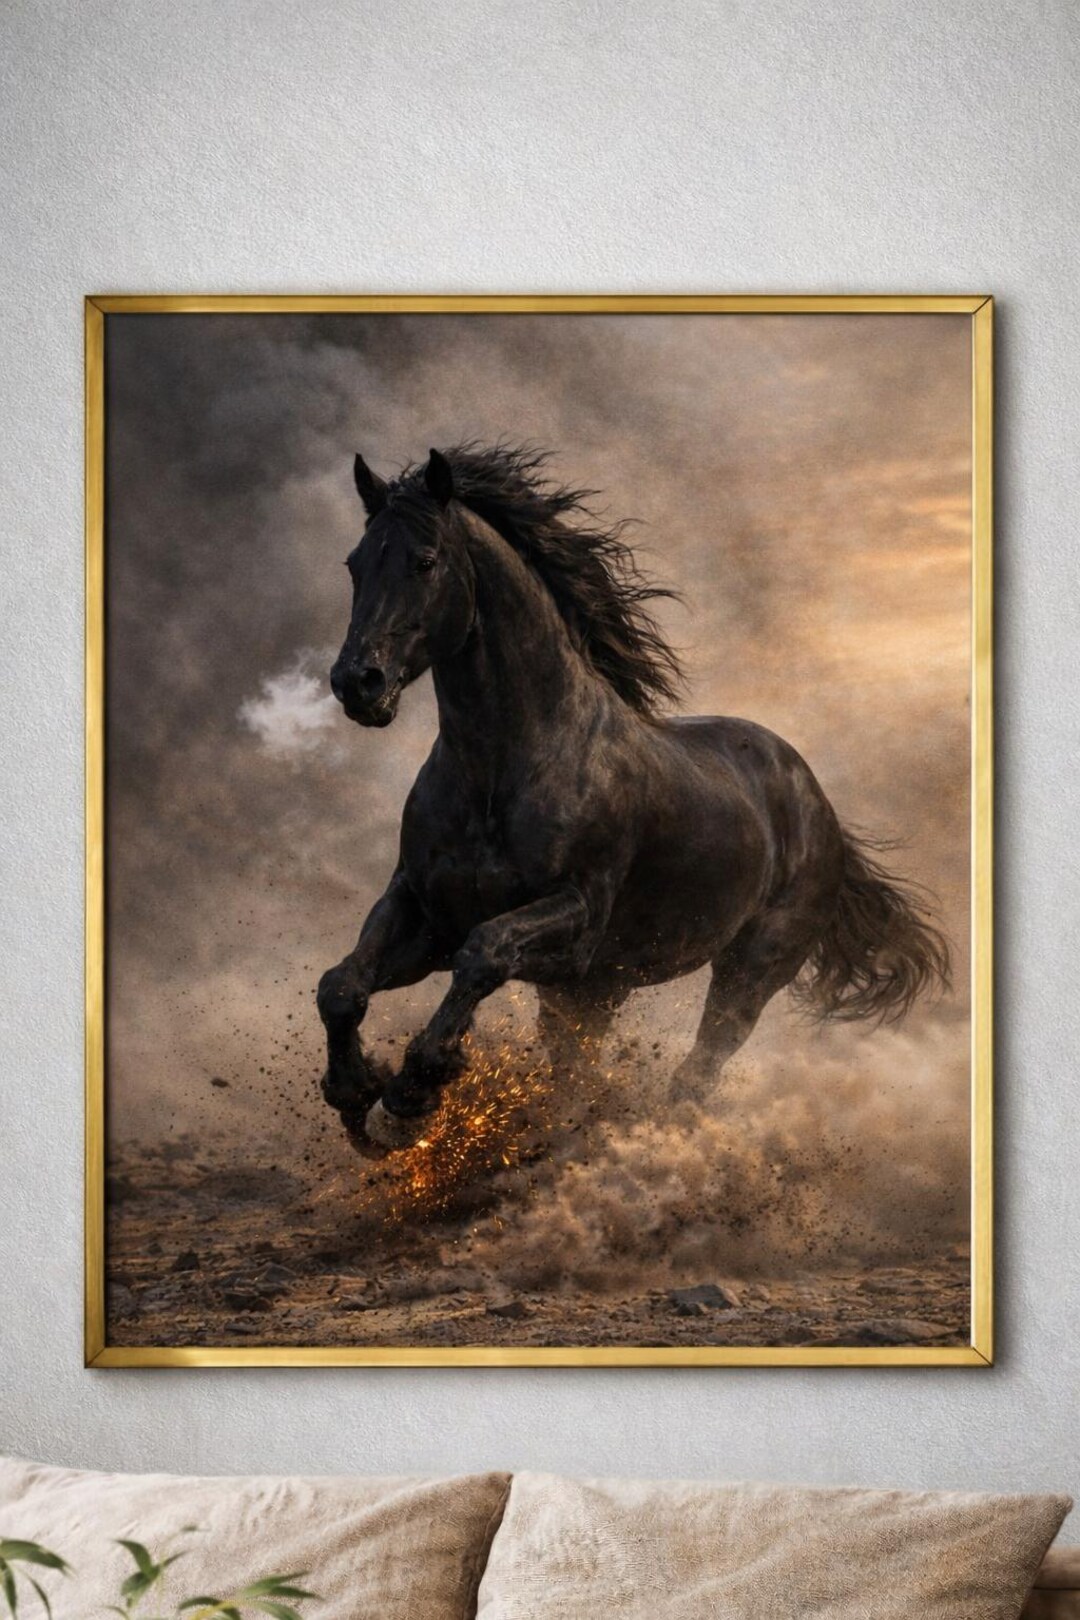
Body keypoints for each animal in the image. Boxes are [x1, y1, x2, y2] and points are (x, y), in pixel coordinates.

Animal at [316, 443, 949, 1153]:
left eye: (424, 560)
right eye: (355, 562)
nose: (358, 683)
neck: (499, 773)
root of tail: (820, 808)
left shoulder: (575, 922)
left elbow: (484, 953)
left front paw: (414, 1086)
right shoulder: (425, 913)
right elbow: (340, 986)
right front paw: (355, 1091)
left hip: (746, 972)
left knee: (696, 1072)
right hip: (594, 993)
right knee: (580, 1072)